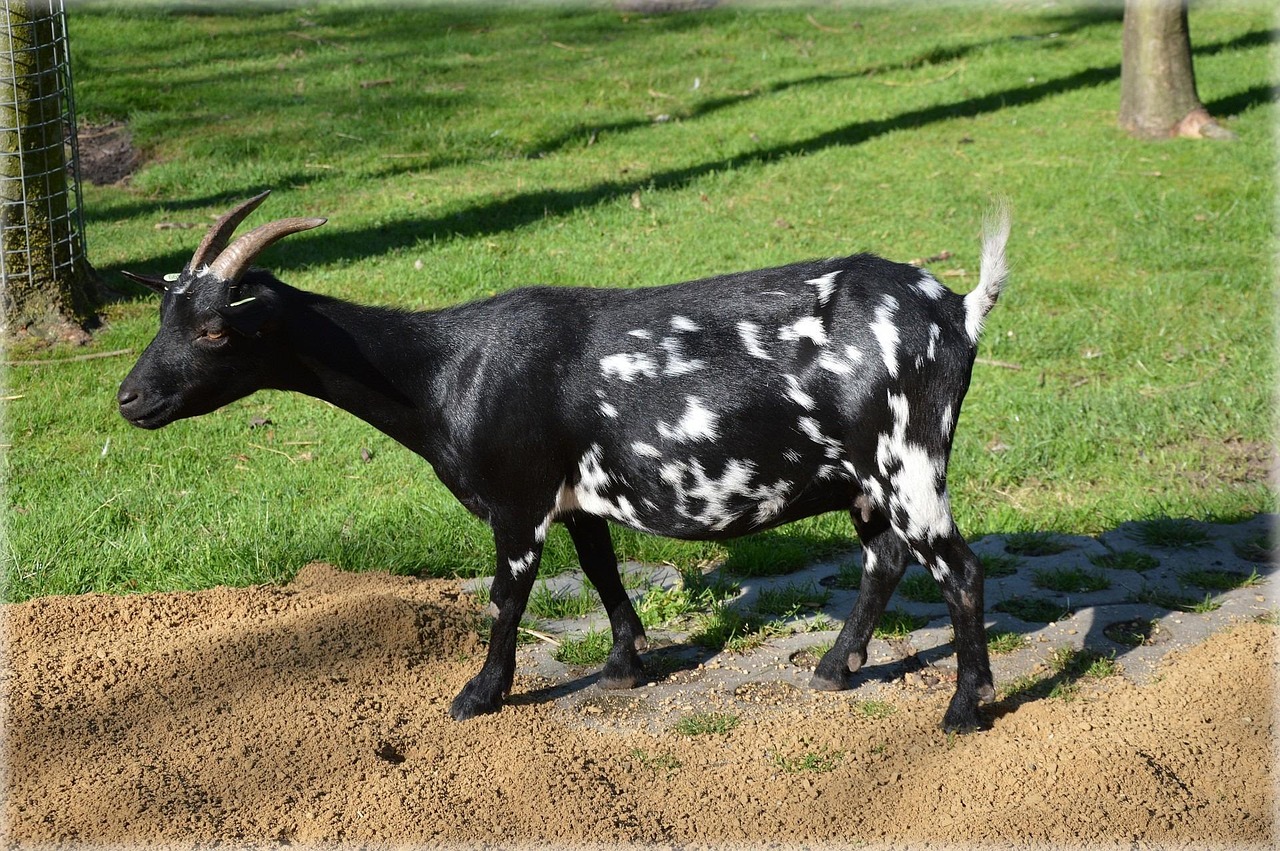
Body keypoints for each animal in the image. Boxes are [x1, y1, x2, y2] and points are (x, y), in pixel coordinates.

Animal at [118, 191, 1010, 731]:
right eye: (165, 314)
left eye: (214, 330)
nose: (129, 399)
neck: (445, 368)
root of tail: (958, 311)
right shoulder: (577, 494)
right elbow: (602, 569)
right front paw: (622, 663)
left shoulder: (516, 503)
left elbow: (506, 599)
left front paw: (478, 694)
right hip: (866, 479)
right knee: (885, 556)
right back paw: (835, 666)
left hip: (909, 460)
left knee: (957, 570)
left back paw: (965, 707)